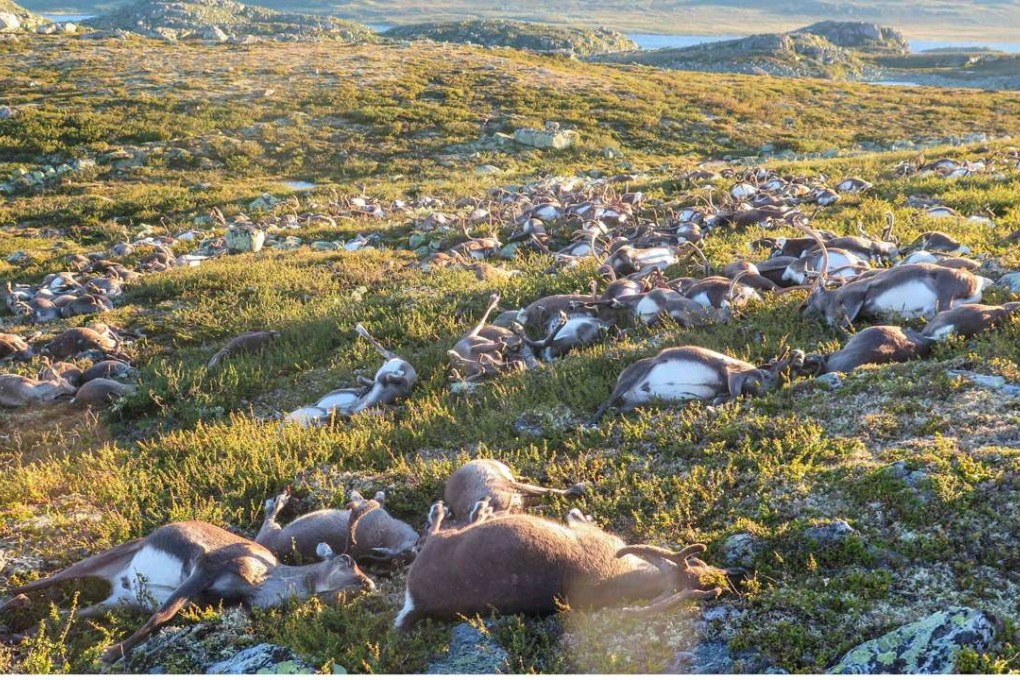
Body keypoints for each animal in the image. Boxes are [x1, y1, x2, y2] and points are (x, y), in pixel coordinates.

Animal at [0, 521, 375, 663]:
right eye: (347, 561)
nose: (369, 585)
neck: (264, 580)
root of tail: (120, 580)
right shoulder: (205, 568)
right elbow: (162, 615)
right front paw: (110, 652)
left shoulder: (213, 597)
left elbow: (164, 613)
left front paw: (111, 650)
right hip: (100, 560)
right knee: (39, 583)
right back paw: (12, 600)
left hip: (119, 601)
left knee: (65, 615)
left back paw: (19, 634)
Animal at [394, 503, 740, 629]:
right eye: (698, 558)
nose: (734, 575)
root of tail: (417, 603)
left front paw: (577, 512)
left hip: (440, 544)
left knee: (433, 533)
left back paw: (463, 511)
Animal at [591, 346, 801, 422]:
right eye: (766, 375)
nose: (765, 391)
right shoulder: (733, 373)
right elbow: (734, 393)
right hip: (628, 382)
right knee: (605, 403)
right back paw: (590, 423)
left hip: (635, 402)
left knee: (618, 408)